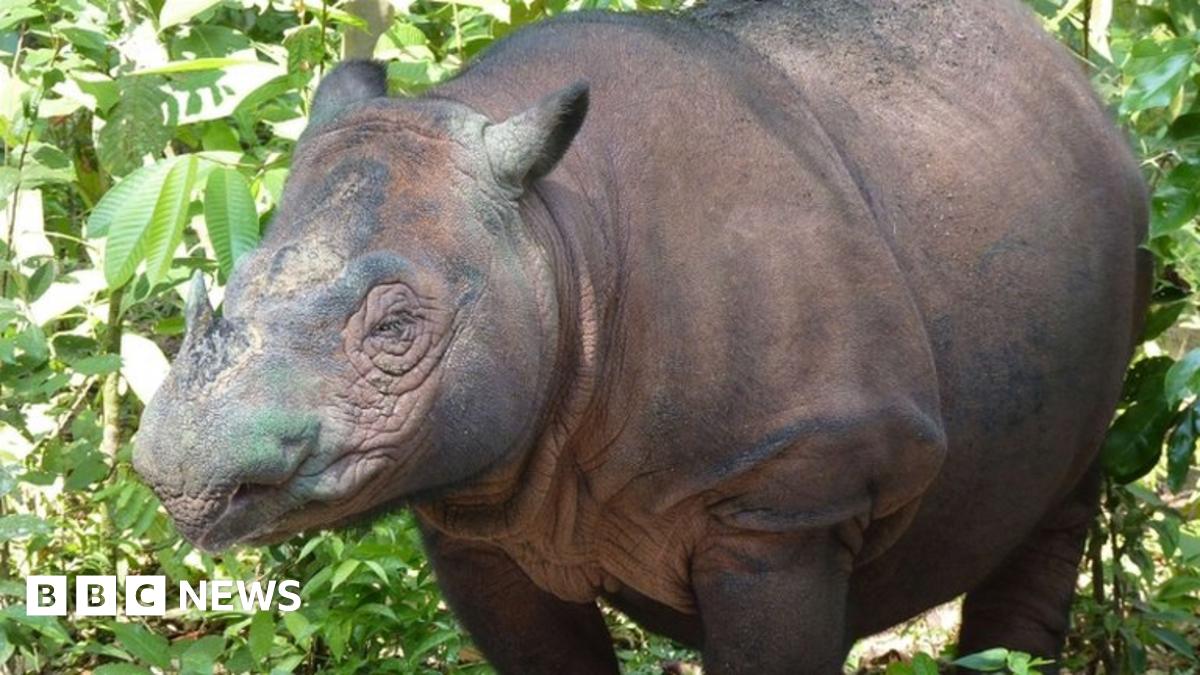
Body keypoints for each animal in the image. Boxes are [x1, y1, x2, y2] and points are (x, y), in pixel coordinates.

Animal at [133, 0, 1149, 672]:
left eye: (397, 328)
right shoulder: (475, 506)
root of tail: (1070, 72)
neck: (555, 235)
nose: (183, 473)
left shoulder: (789, 497)